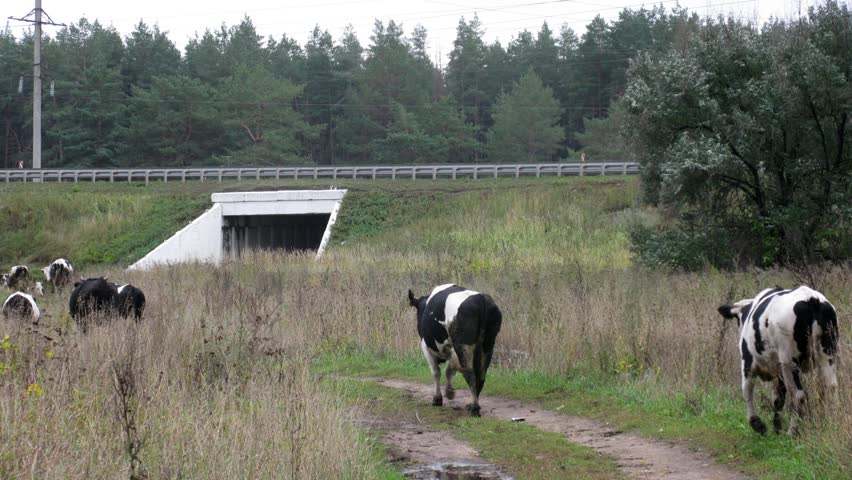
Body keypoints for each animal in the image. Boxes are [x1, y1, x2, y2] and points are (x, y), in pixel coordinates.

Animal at [407, 284, 502, 417]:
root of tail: (481, 298)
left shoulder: (426, 346)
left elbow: (436, 372)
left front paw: (438, 398)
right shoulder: (451, 350)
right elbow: (449, 371)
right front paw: (449, 392)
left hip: (463, 345)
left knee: (470, 374)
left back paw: (474, 408)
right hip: (488, 344)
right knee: (481, 375)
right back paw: (472, 405)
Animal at [718, 286, 839, 435]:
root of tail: (811, 298)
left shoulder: (748, 362)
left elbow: (747, 390)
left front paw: (757, 423)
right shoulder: (778, 371)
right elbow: (778, 398)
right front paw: (777, 427)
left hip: (789, 362)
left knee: (798, 395)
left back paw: (793, 431)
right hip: (827, 355)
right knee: (831, 387)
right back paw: (831, 424)